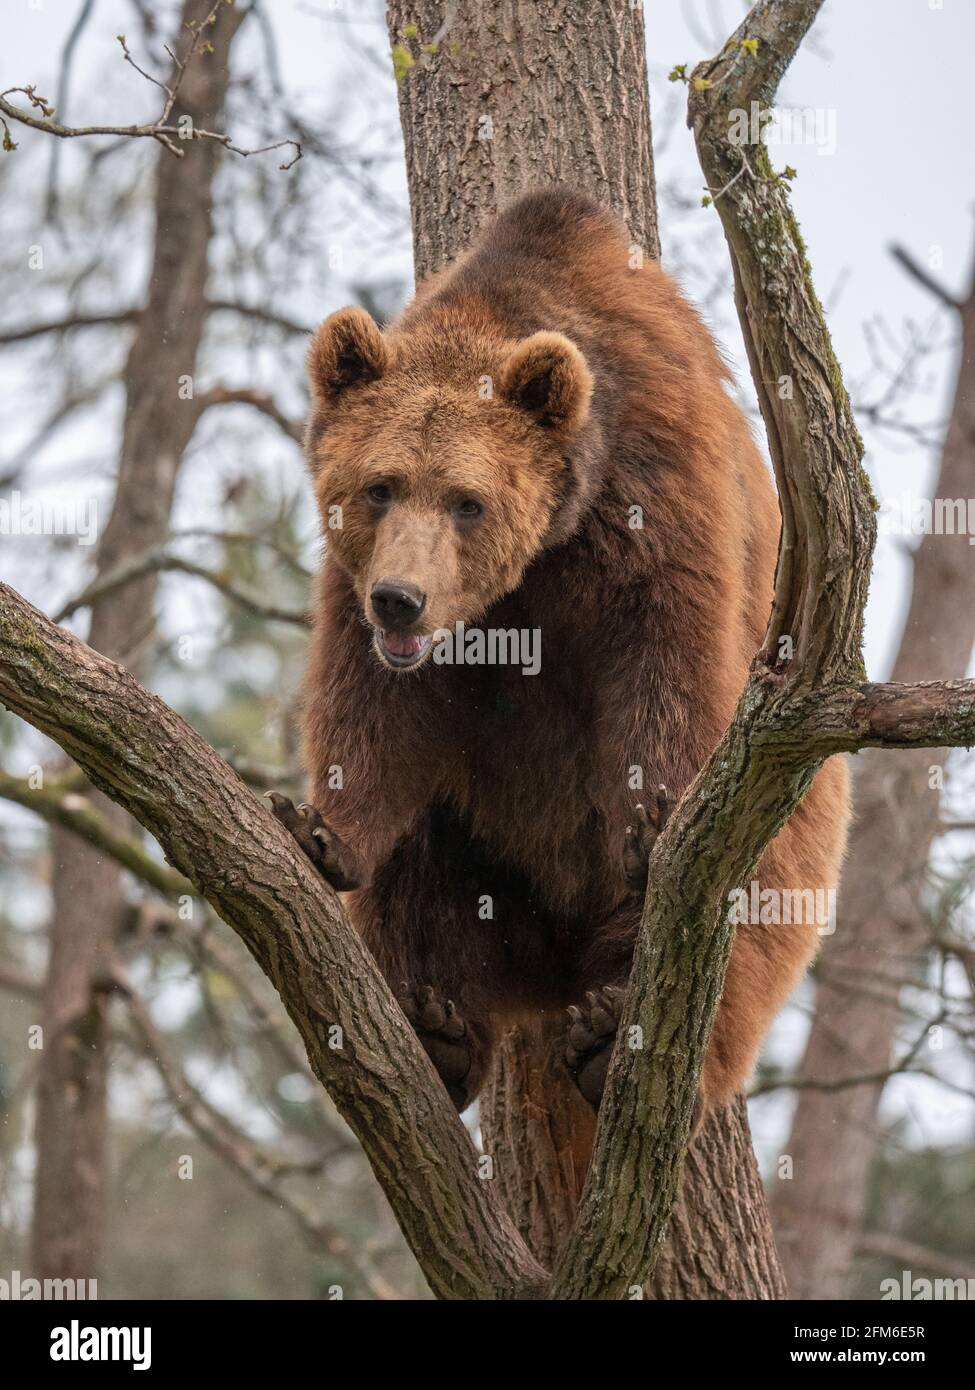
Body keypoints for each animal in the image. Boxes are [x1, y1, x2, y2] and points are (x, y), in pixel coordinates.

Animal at [270, 187, 850, 1120]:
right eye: (379, 486)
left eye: (467, 500)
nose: (401, 598)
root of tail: (550, 972)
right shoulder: (364, 592)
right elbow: (374, 708)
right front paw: (321, 830)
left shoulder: (653, 501)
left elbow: (668, 662)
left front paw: (650, 826)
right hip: (478, 832)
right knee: (422, 874)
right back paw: (436, 1031)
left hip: (799, 794)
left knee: (753, 904)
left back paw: (609, 1039)